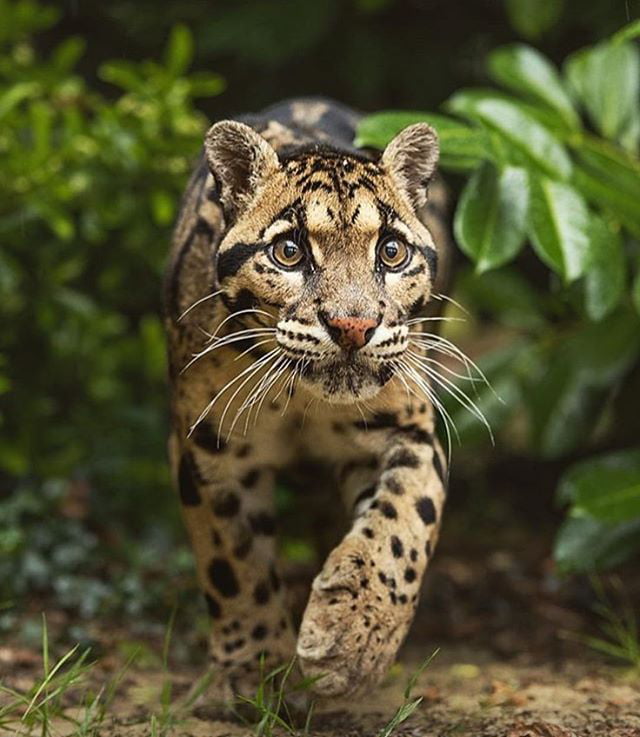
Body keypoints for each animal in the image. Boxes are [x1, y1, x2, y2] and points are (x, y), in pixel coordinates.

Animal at [164, 98, 453, 700]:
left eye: (392, 252)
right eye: (289, 252)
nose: (353, 326)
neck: (300, 401)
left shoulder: (409, 429)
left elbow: (404, 522)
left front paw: (353, 641)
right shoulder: (208, 448)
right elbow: (233, 560)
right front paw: (253, 668)